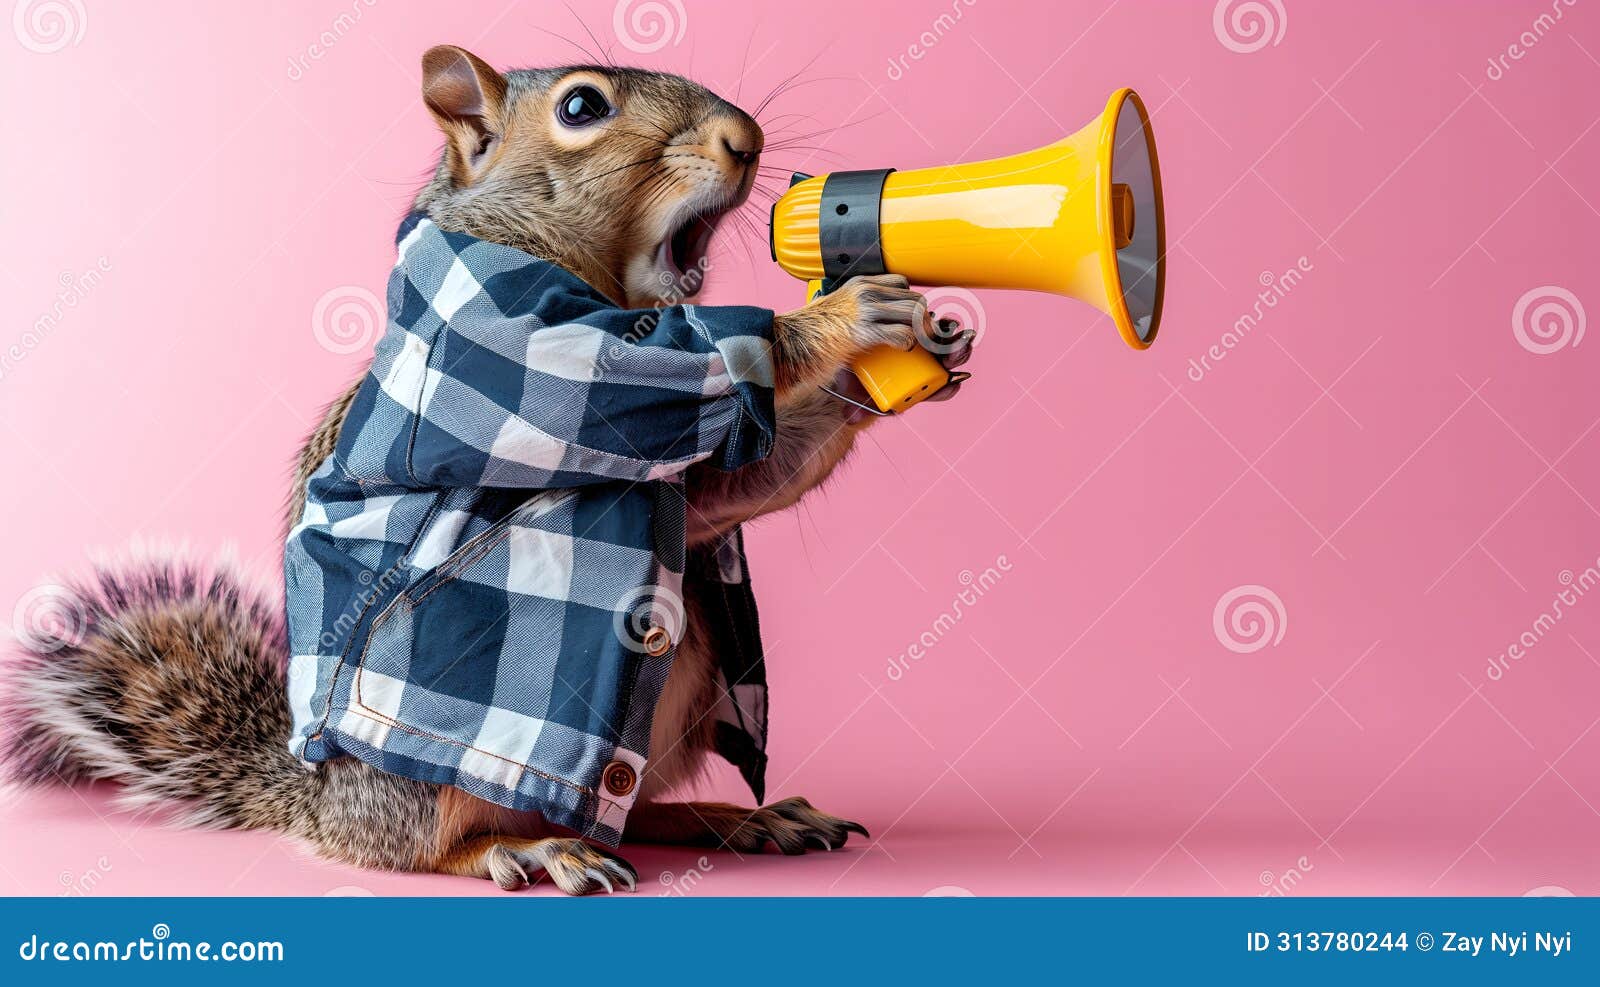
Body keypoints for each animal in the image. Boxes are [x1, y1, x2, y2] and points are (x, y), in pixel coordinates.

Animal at [0, 45, 973, 894]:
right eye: (581, 108)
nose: (746, 138)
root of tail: (321, 807)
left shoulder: (685, 489)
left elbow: (716, 494)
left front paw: (907, 352)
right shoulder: (490, 330)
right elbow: (616, 379)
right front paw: (843, 317)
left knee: (627, 811)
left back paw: (731, 820)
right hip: (423, 784)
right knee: (427, 848)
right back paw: (531, 848)